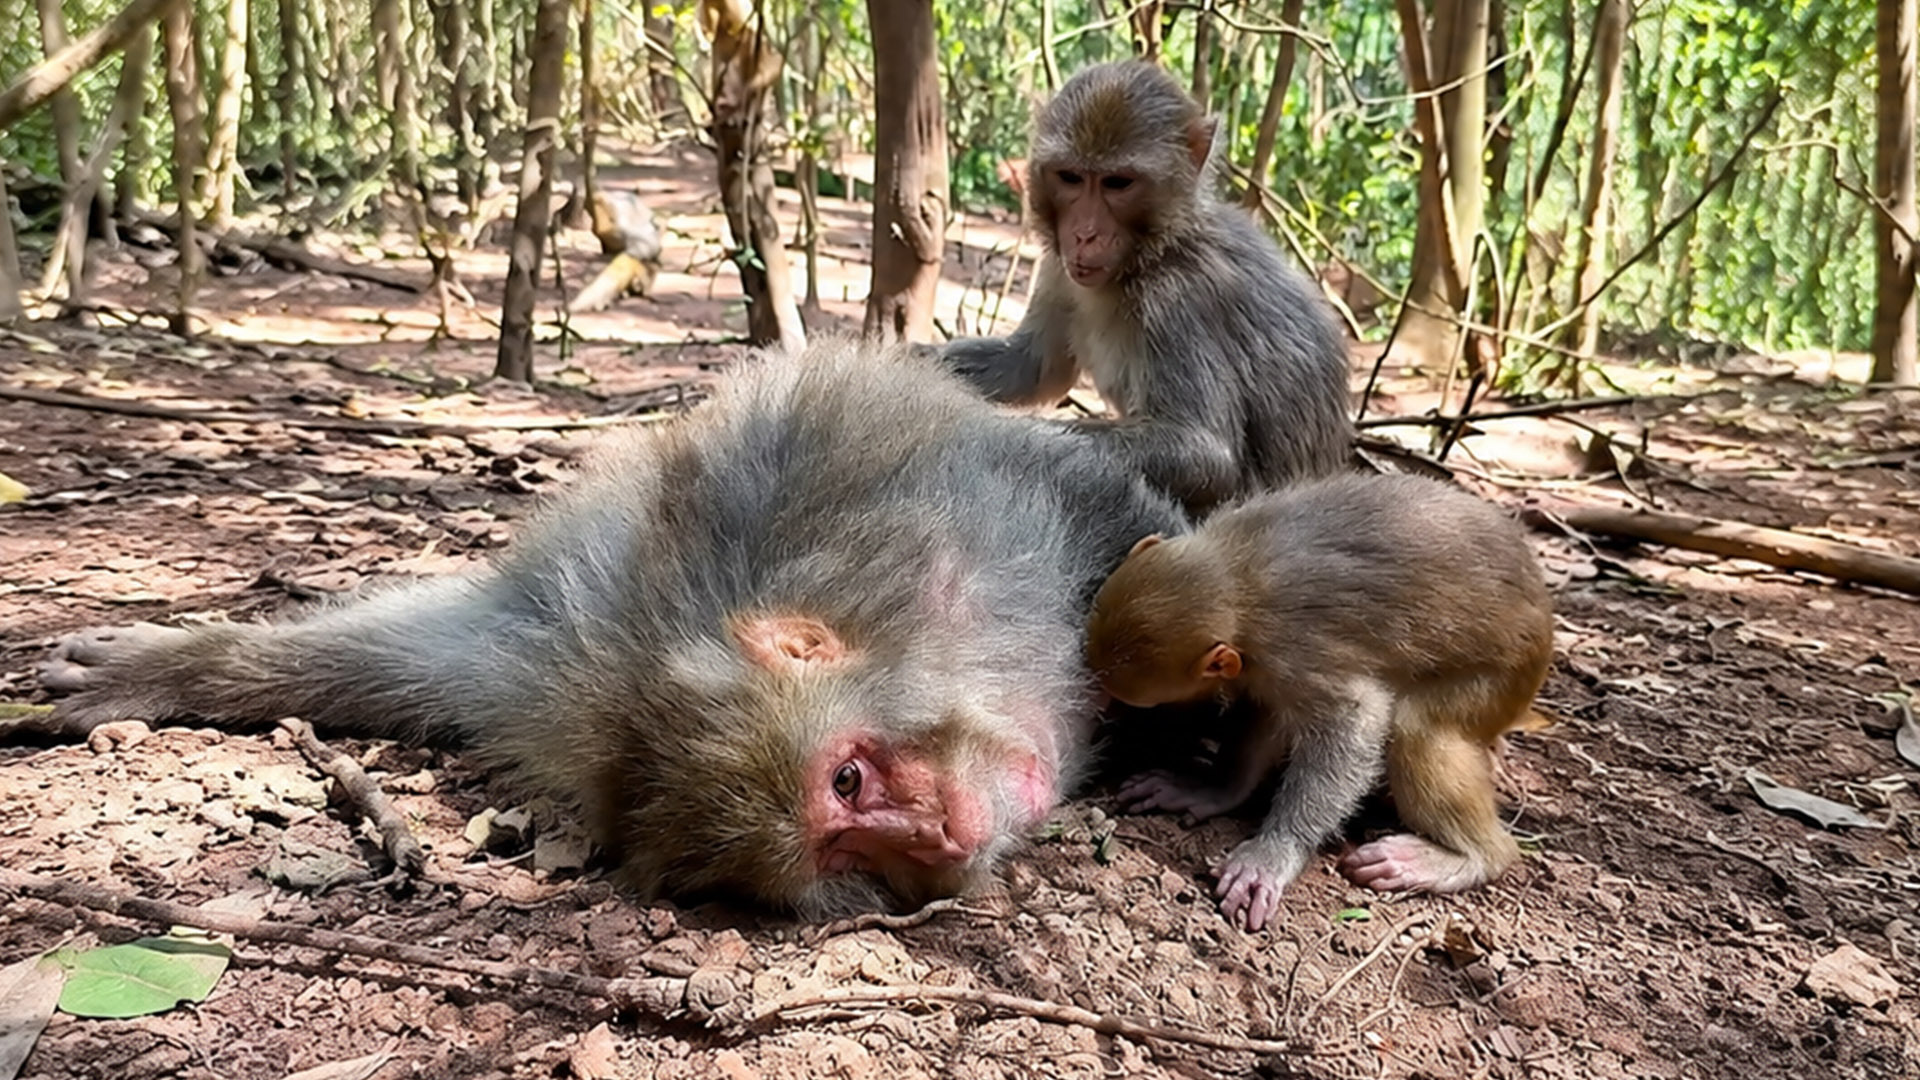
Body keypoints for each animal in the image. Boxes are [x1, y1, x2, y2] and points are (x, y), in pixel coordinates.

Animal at [33, 338, 1187, 916]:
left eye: (848, 776)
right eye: (851, 853)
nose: (945, 838)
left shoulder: (986, 531)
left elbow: (1123, 518)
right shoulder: (555, 652)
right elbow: (428, 654)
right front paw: (178, 666)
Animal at [936, 60, 1353, 516]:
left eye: (1117, 183)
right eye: (1071, 177)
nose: (1084, 235)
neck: (1152, 254)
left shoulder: (1178, 298)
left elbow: (1204, 452)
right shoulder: (1060, 268)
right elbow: (1034, 367)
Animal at [1084, 473, 1553, 931]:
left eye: (1126, 698)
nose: (1096, 699)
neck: (1238, 570)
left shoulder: (1290, 651)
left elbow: (1354, 724)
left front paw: (1275, 852)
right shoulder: (1260, 662)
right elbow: (1265, 712)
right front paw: (1214, 788)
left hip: (1505, 673)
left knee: (1418, 729)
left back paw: (1473, 856)